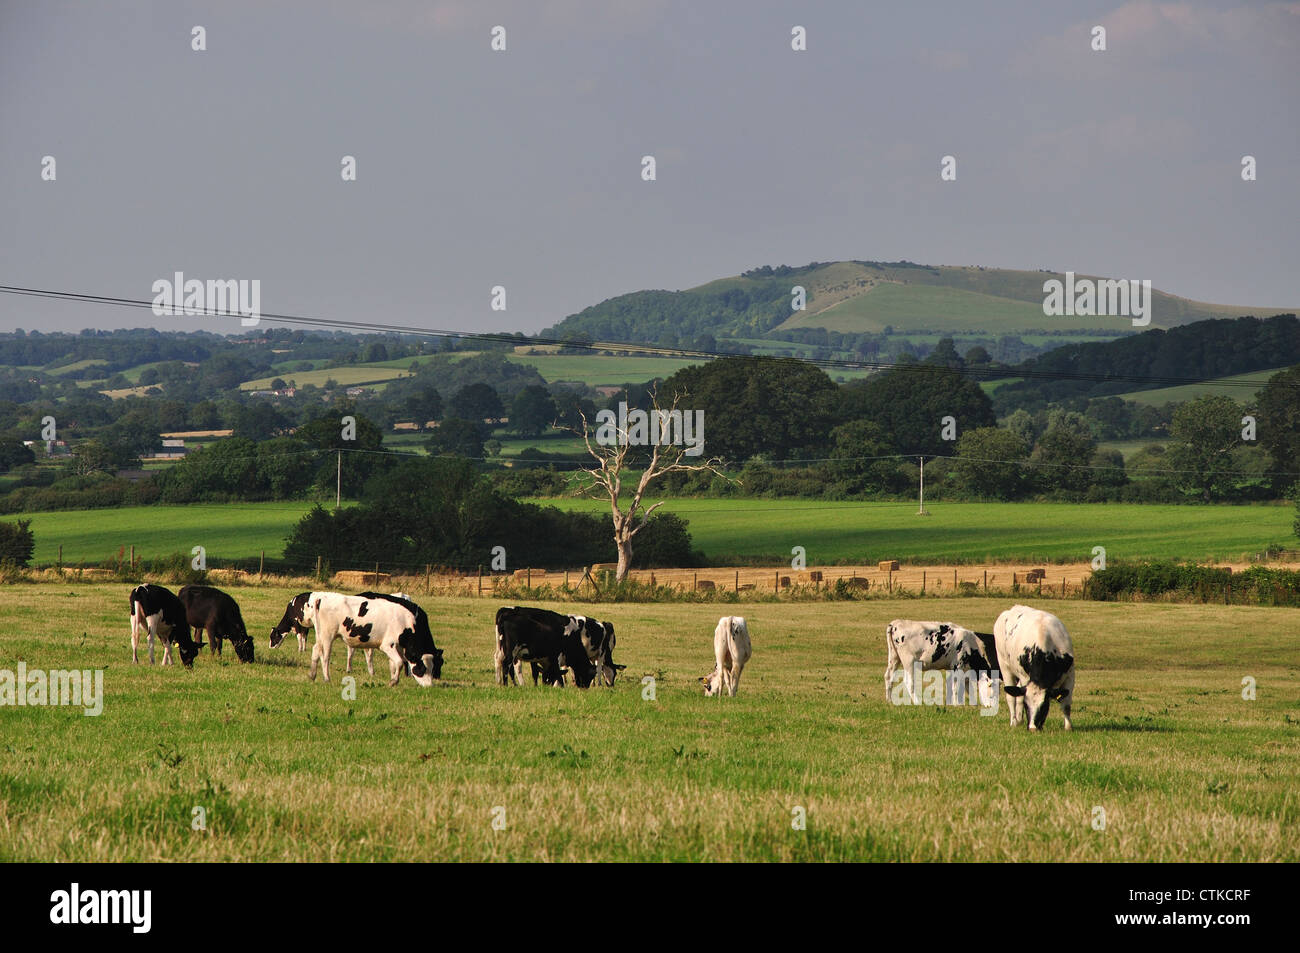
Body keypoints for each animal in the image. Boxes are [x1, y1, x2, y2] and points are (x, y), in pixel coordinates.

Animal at [270, 591, 435, 687]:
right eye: (422, 668)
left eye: (433, 669)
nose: (429, 686)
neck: (406, 622)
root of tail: (320, 599)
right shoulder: (388, 645)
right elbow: (400, 662)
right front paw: (393, 682)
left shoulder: (399, 647)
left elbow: (396, 663)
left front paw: (394, 678)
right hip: (328, 635)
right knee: (325, 656)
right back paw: (327, 678)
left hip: (320, 634)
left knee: (316, 650)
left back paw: (312, 675)